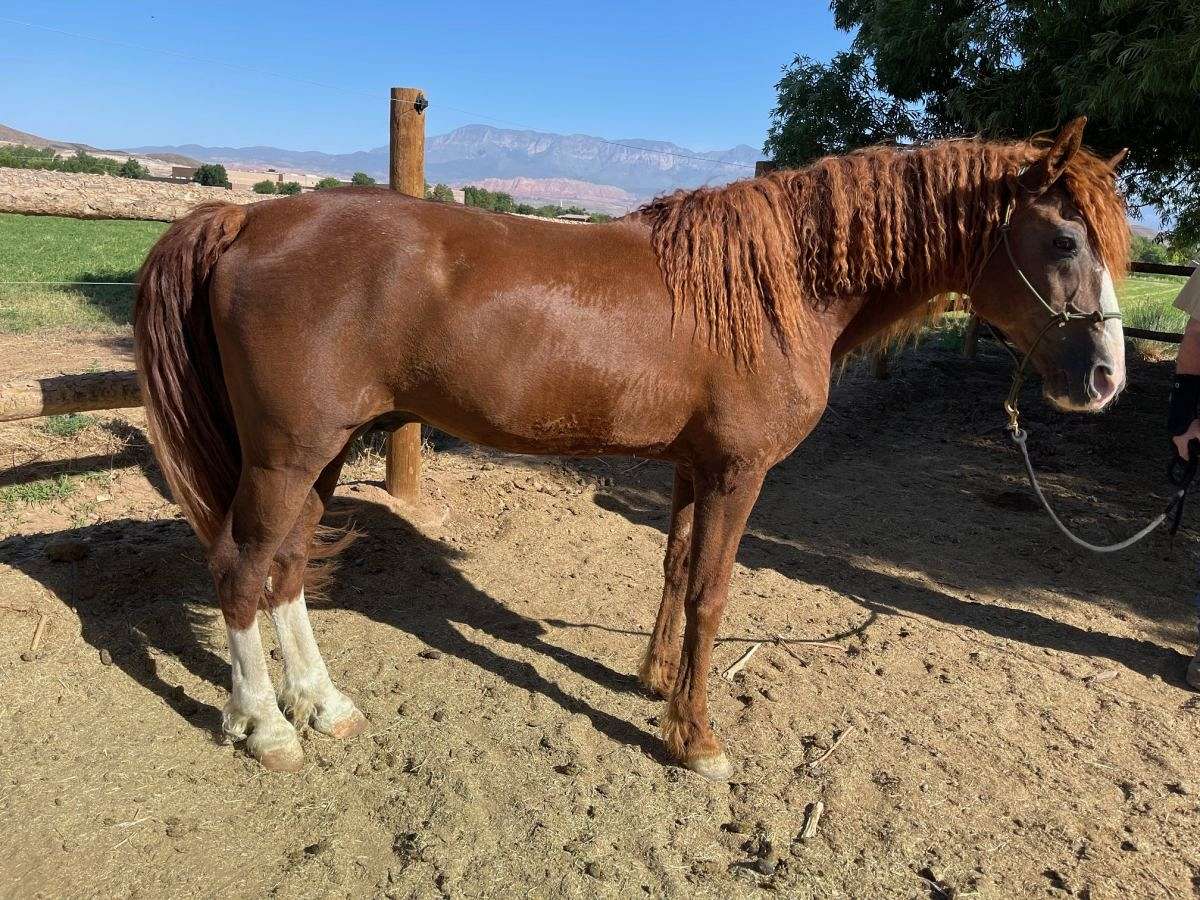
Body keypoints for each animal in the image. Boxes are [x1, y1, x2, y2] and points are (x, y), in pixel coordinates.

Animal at [133, 116, 1128, 779]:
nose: (1104, 379)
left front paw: (654, 684)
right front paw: (697, 739)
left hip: (324, 451)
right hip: (287, 453)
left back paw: (322, 705)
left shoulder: (695, 467)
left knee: (288, 566)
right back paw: (265, 726)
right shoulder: (737, 474)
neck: (780, 284)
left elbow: (676, 571)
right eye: (1063, 237)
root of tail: (245, 220)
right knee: (241, 566)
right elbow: (714, 595)